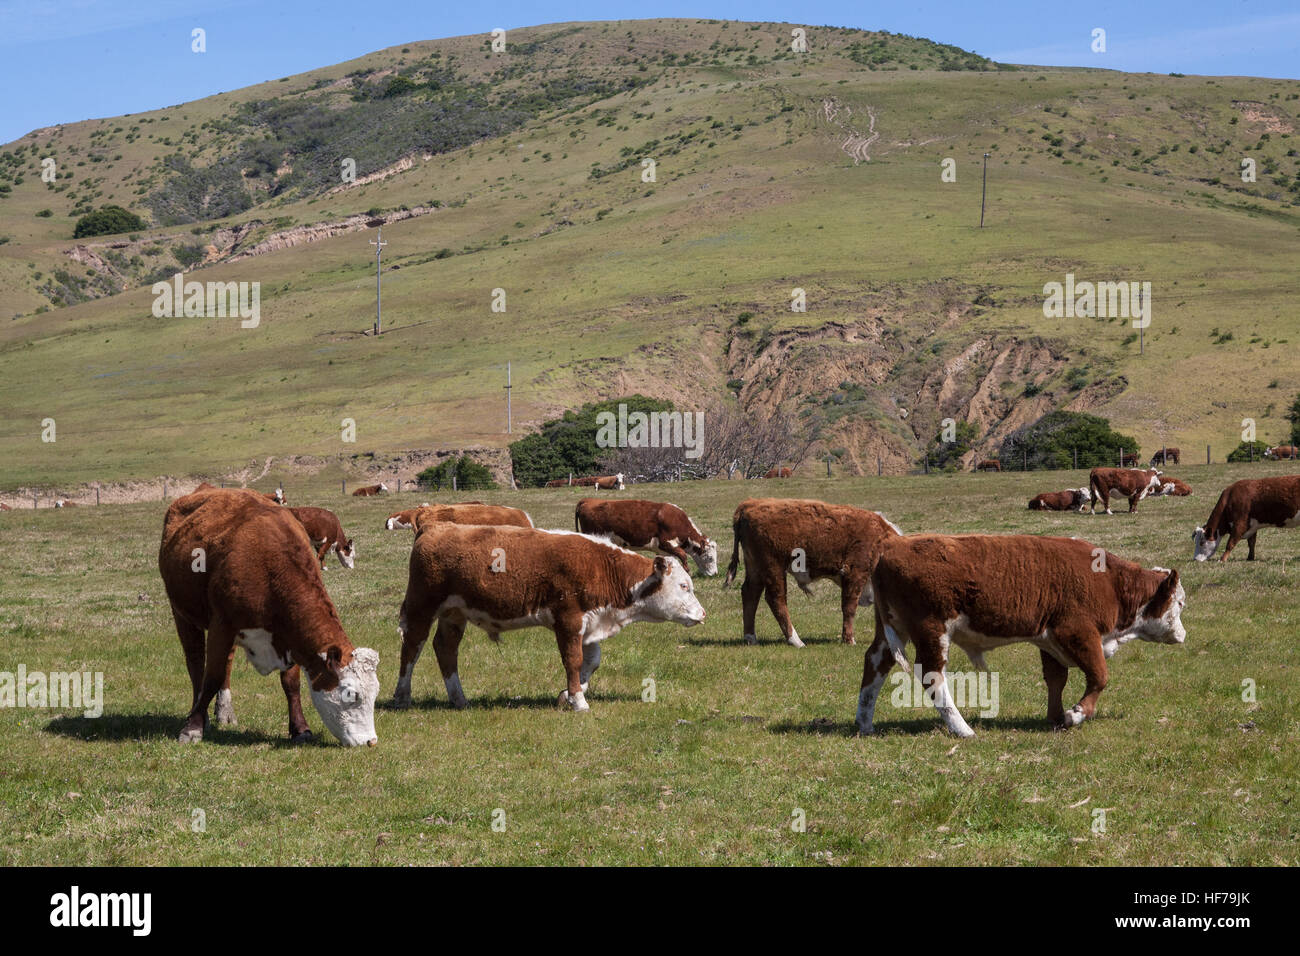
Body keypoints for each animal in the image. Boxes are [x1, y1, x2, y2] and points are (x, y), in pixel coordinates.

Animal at [158, 486, 380, 746]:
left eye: (375, 693)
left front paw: (300, 728)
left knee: (226, 664)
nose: (371, 741)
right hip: (182, 614)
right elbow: (211, 676)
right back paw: (200, 715)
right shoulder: (222, 624)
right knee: (195, 664)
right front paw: (193, 728)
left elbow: (290, 684)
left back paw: (225, 710)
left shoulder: (288, 635)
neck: (270, 565)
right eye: (351, 693)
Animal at [393, 524, 705, 712]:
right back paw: (402, 696)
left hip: (454, 614)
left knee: (445, 649)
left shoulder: (590, 623)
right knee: (412, 647)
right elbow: (573, 660)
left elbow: (592, 661)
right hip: (422, 606)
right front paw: (578, 701)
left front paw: (567, 694)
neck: (603, 568)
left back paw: (459, 699)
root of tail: (435, 527)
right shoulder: (568, 620)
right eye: (683, 586)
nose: (703, 614)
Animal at [575, 498, 718, 576]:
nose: (715, 574)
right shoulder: (665, 543)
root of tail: (587, 500)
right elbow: (683, 556)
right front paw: (688, 573)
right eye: (710, 558)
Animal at [723, 498, 901, 647]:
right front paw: (849, 639)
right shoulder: (855, 573)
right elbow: (849, 607)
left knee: (750, 594)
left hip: (756, 569)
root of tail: (749, 504)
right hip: (773, 568)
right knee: (776, 599)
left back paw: (751, 638)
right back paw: (795, 640)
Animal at [855, 534, 1186, 738]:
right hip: (931, 630)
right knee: (931, 675)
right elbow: (1099, 676)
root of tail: (892, 547)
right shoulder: (1078, 632)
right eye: (1180, 603)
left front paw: (1056, 717)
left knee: (875, 663)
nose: (1183, 635)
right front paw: (1075, 714)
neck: (1112, 583)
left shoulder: (1050, 640)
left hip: (891, 630)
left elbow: (1056, 679)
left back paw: (864, 722)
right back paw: (963, 729)